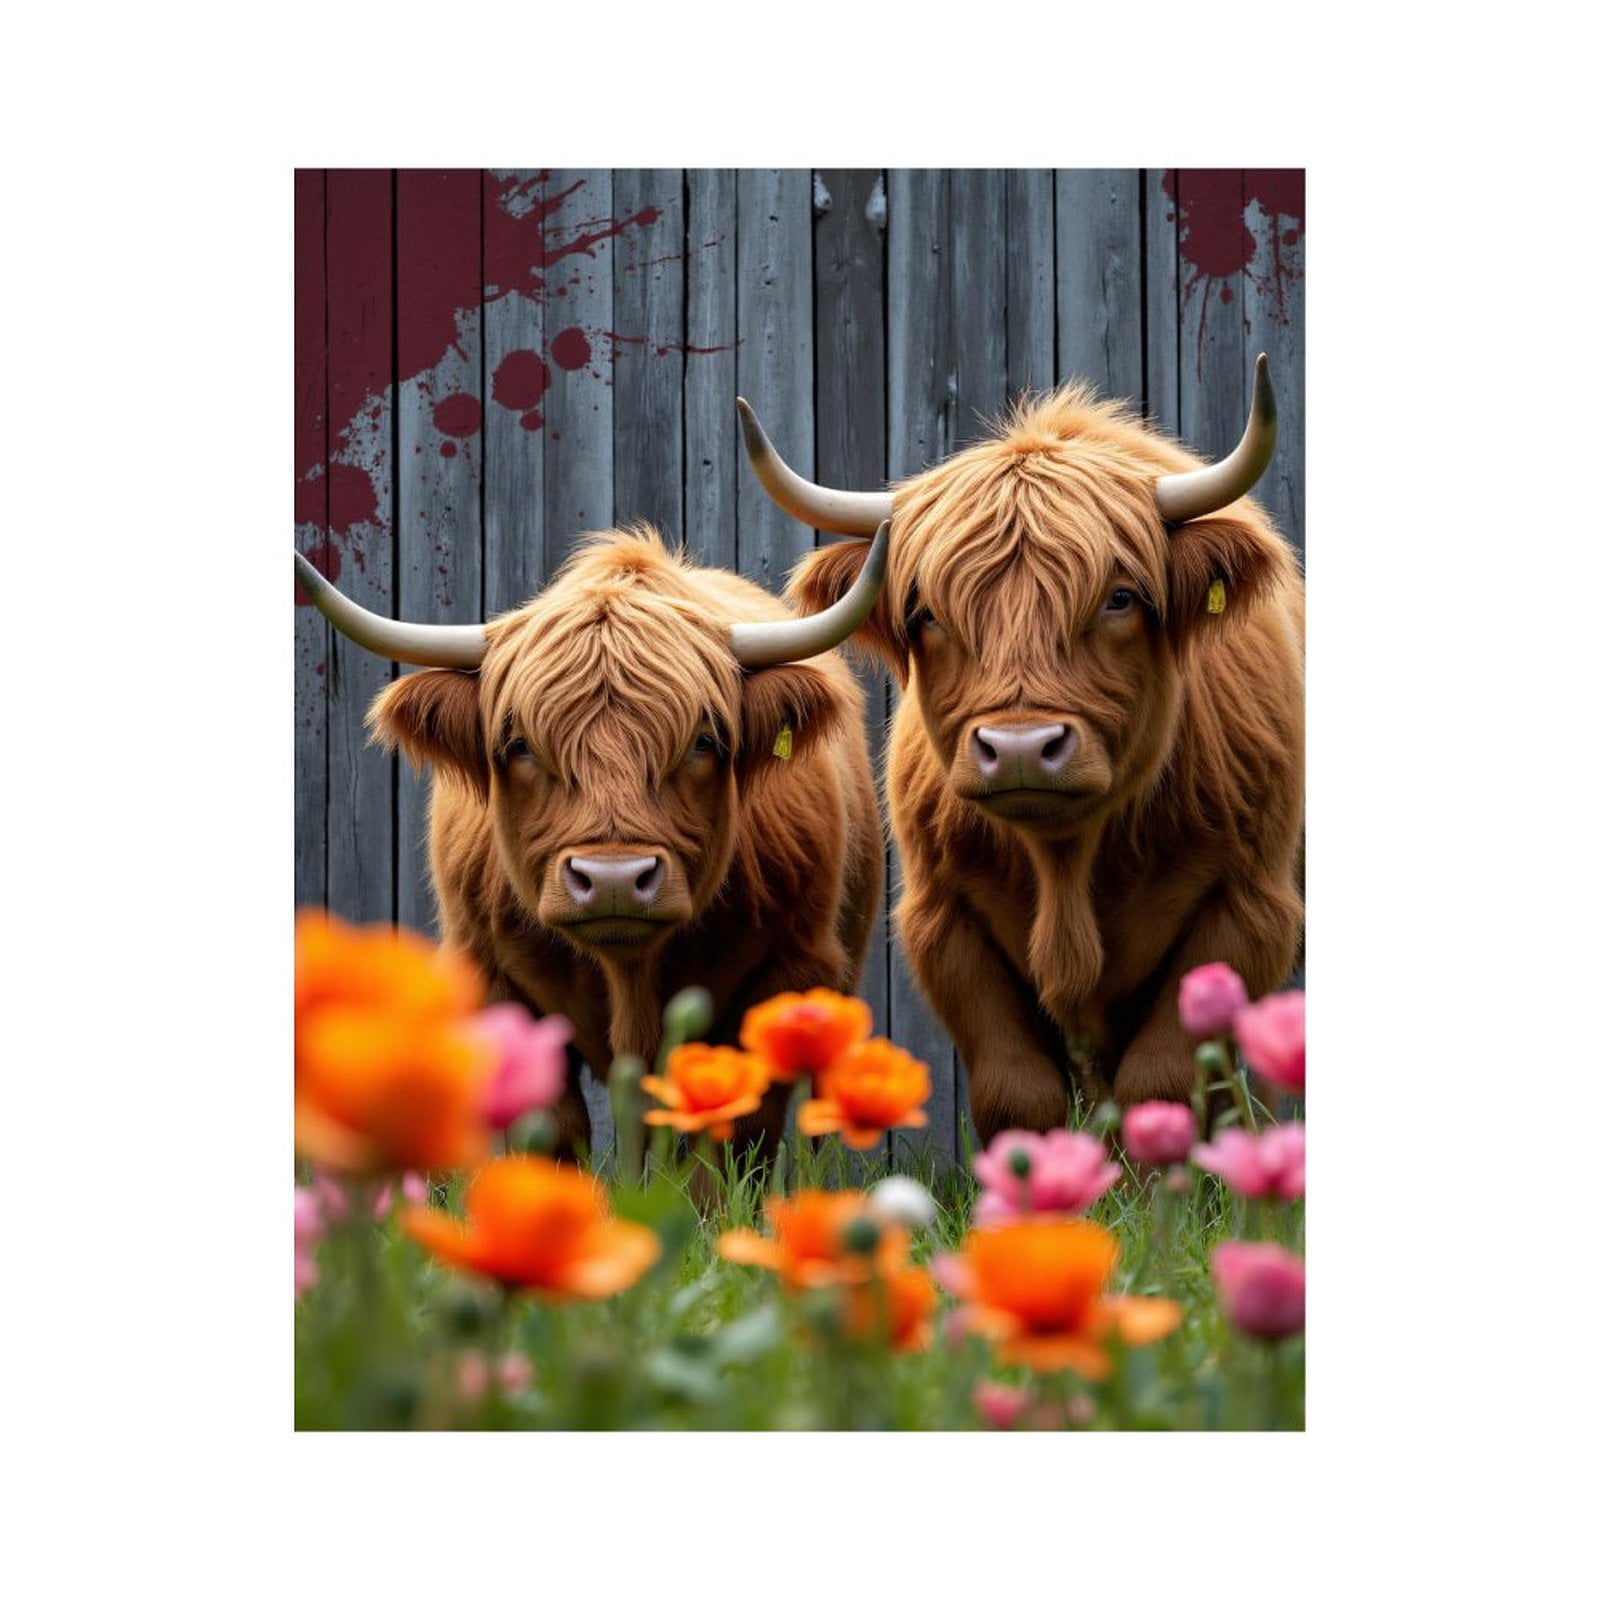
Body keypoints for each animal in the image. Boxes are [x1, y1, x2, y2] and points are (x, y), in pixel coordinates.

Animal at [293, 522, 888, 1158]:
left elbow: (733, 1128)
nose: (613, 880)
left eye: (704, 741)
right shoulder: (499, 986)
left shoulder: (786, 972)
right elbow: (548, 1132)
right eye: (520, 745)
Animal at [737, 355, 1303, 1138]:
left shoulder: (1247, 908)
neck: (1068, 862)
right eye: (926, 613)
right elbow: (1018, 1094)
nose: (1022, 748)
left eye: (1120, 598)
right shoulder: (945, 920)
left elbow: (1162, 1083)